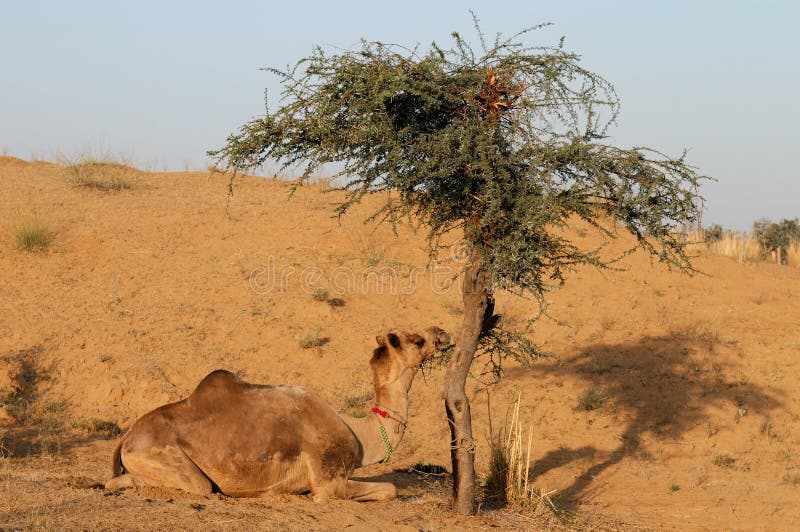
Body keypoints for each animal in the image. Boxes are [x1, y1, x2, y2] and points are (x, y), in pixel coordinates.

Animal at [105, 326, 451, 502]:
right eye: (417, 339)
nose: (443, 333)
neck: (359, 434)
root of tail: (127, 437)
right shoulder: (327, 481)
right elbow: (390, 489)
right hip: (159, 455)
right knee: (193, 486)